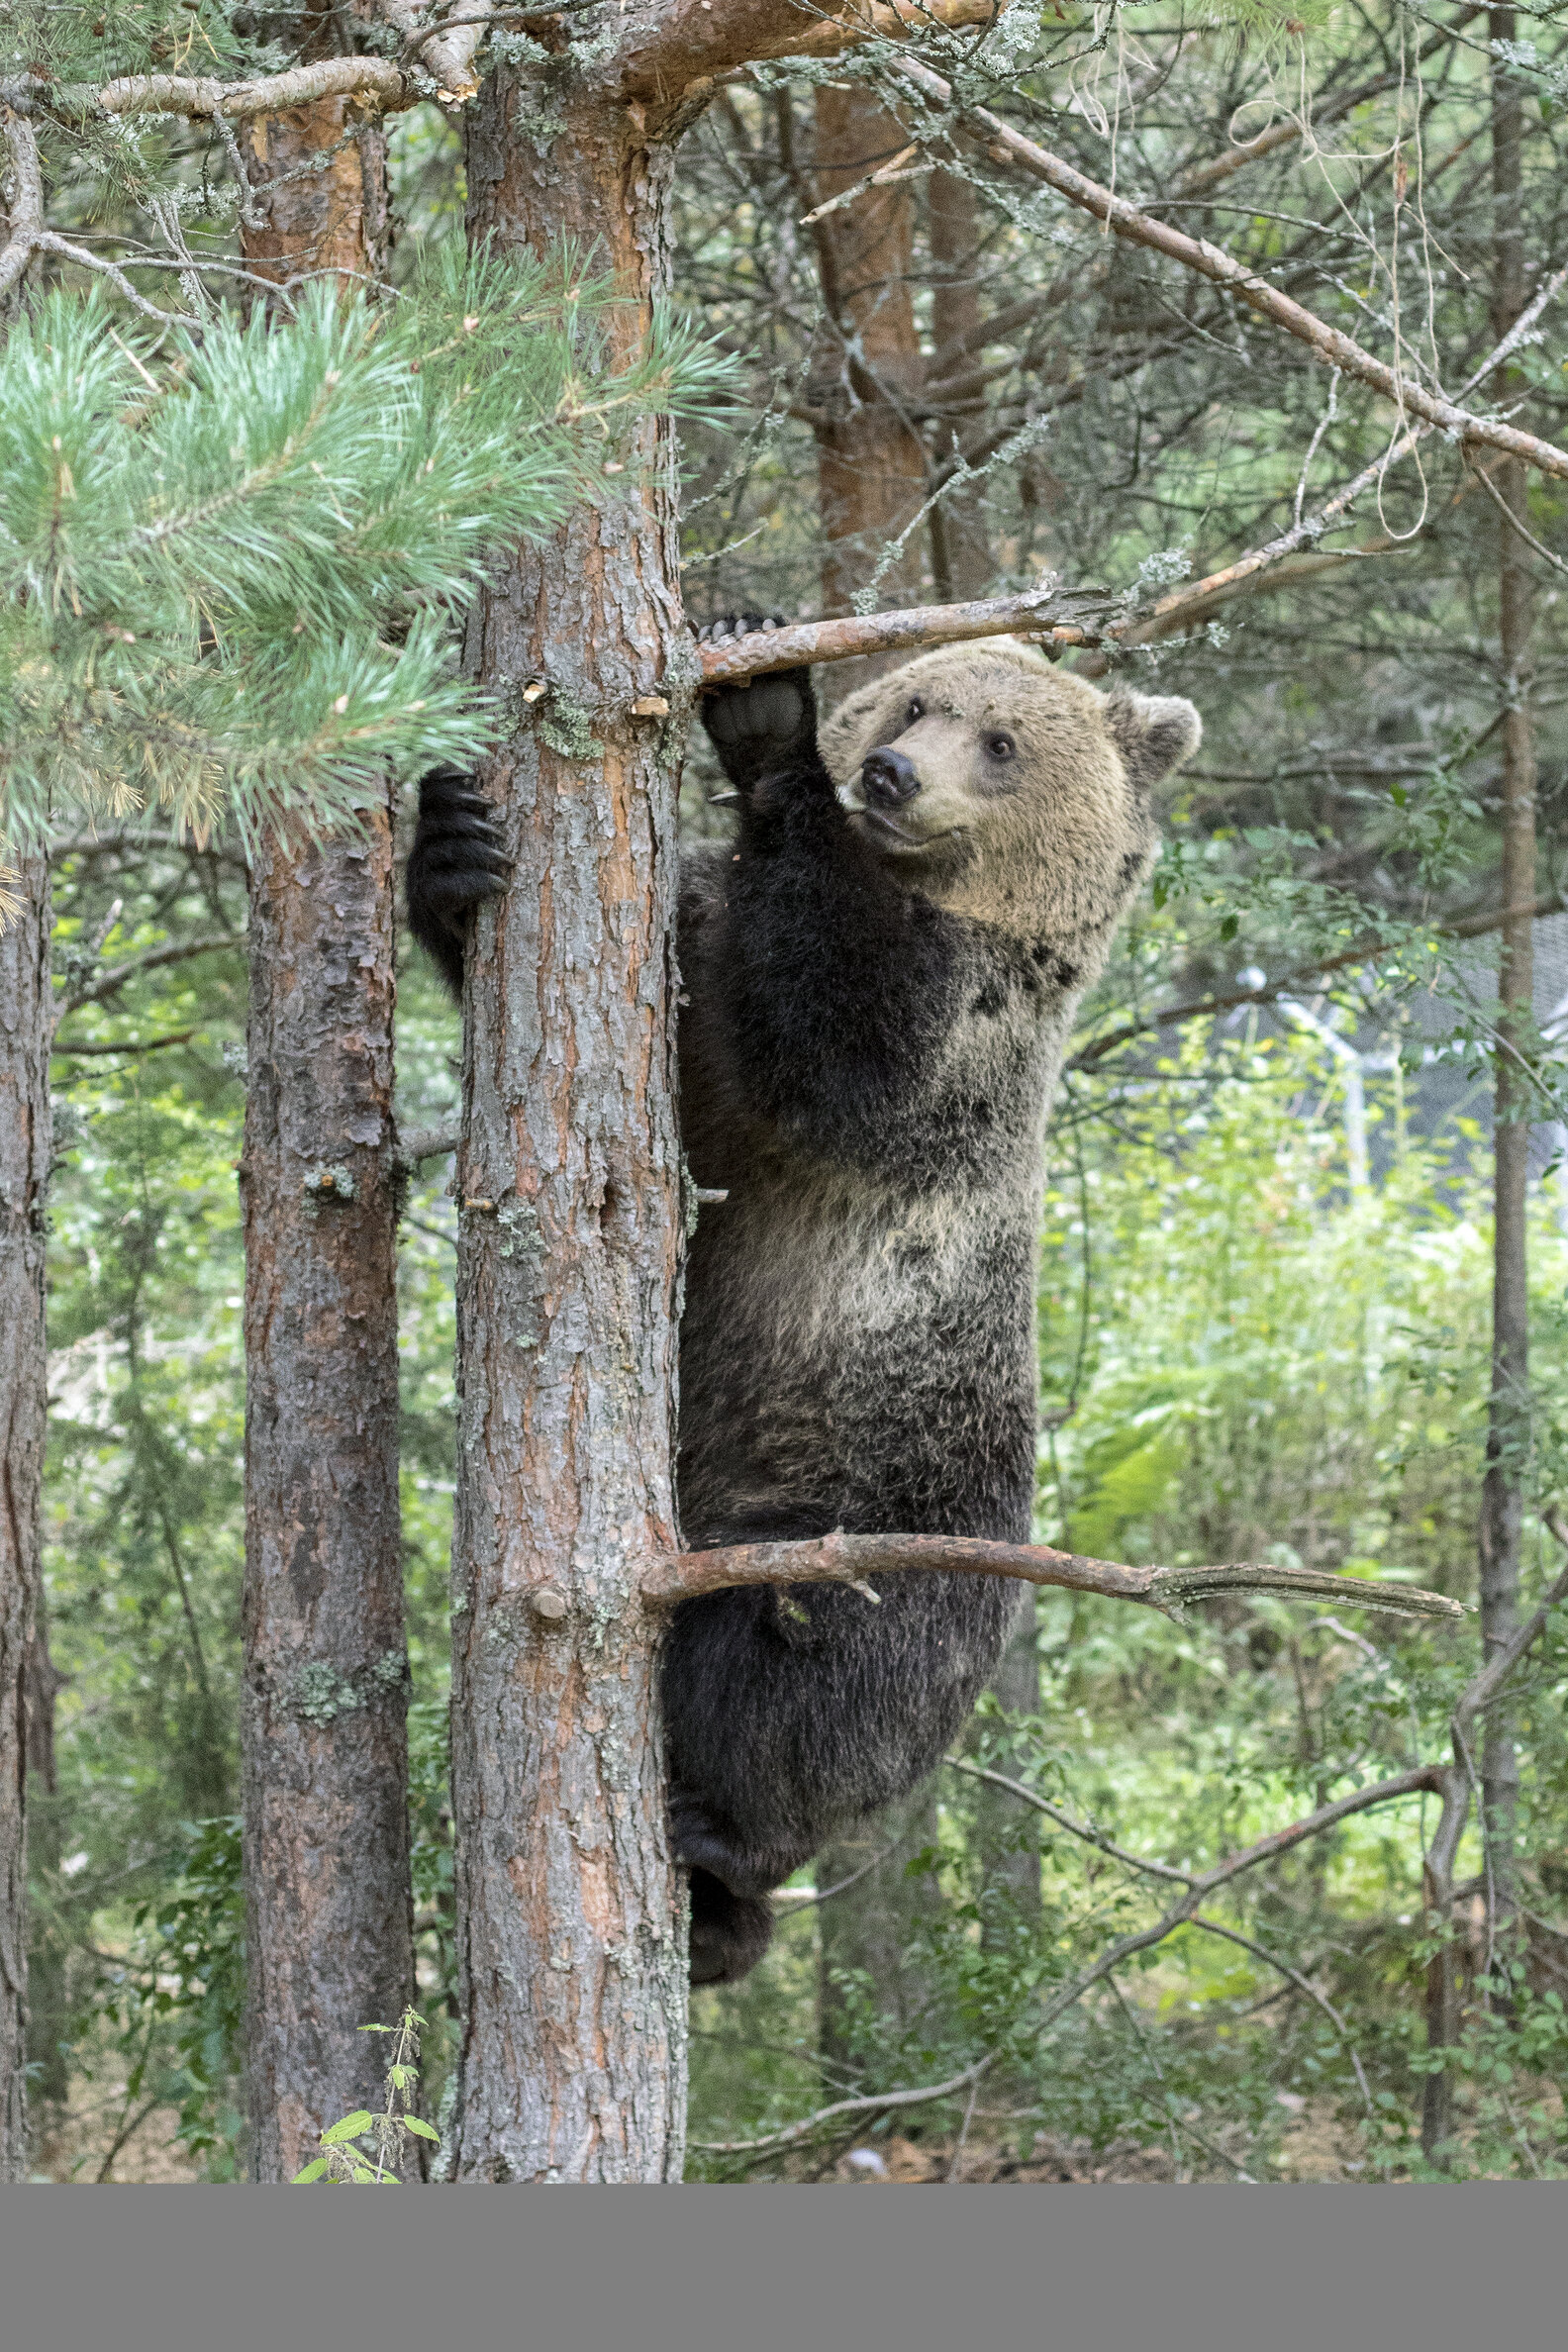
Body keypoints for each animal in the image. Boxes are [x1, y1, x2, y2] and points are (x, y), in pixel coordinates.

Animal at [403, 620, 1201, 1987]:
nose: (888, 773)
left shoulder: (952, 1057)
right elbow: (660, 1001)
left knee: (815, 1678)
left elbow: (845, 1043)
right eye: (920, 700)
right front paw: (453, 841)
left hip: (882, 1515)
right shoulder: (700, 1002)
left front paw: (770, 719)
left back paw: (723, 1844)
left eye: (1002, 740)